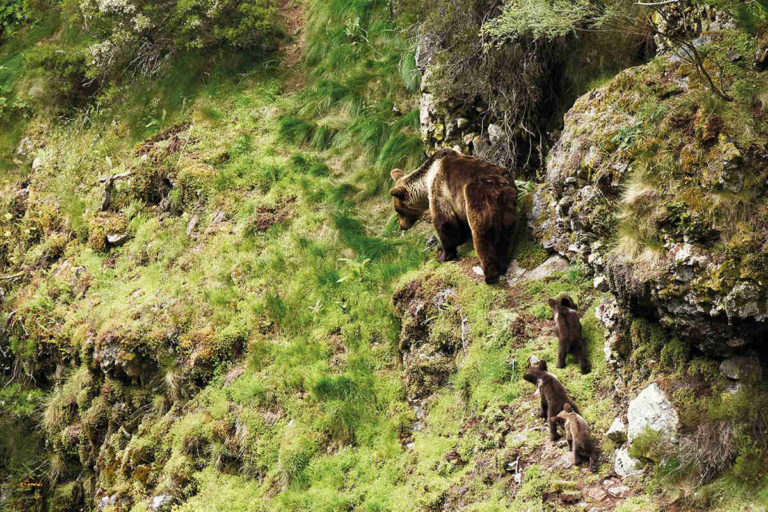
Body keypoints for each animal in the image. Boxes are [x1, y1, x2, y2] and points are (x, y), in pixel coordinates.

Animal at [389, 148, 517, 284]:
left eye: (399, 211)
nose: (402, 226)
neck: (426, 180)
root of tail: (499, 185)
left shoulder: (440, 191)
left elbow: (445, 223)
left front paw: (443, 255)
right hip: (508, 207)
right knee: (506, 234)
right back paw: (502, 264)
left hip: (478, 200)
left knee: (482, 235)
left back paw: (490, 274)